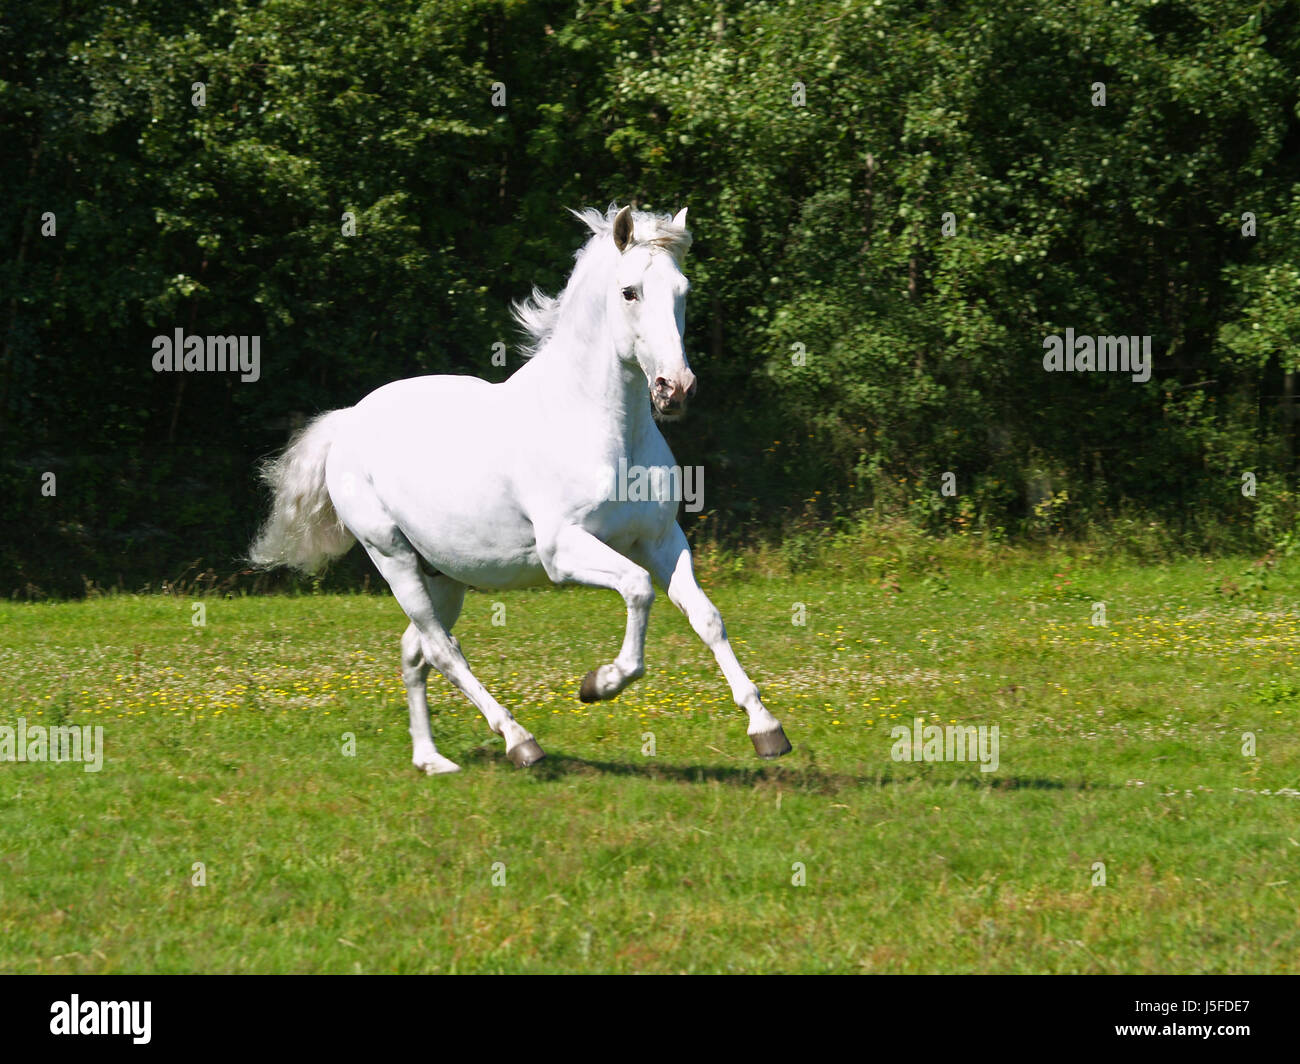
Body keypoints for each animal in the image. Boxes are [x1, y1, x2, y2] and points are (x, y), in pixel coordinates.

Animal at [249, 204, 792, 774]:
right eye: (629, 292)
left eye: (682, 290)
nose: (675, 388)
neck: (599, 426)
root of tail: (349, 421)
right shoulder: (563, 550)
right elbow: (638, 588)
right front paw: (598, 684)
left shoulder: (662, 540)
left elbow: (707, 617)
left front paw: (766, 728)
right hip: (391, 556)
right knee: (442, 650)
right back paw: (519, 740)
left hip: (444, 572)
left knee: (415, 650)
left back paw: (431, 760)